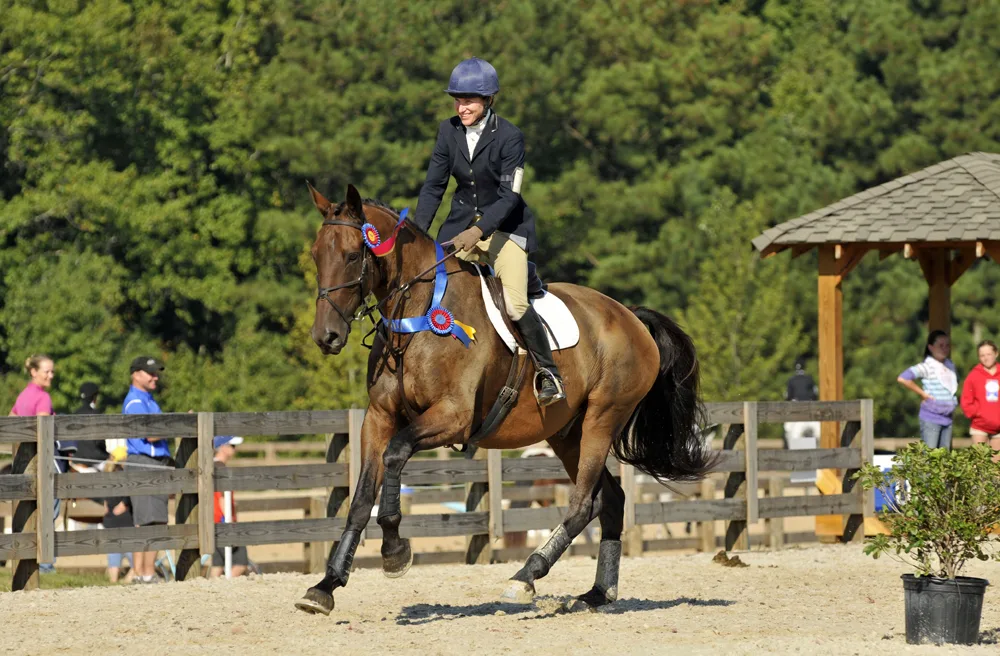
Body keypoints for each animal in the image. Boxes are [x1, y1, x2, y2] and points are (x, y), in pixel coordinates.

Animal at [295, 184, 711, 615]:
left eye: (352, 255)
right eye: (316, 255)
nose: (326, 336)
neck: (417, 314)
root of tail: (629, 316)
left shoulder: (452, 418)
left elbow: (395, 454)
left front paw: (395, 551)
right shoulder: (378, 417)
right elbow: (361, 499)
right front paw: (326, 585)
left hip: (602, 419)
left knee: (583, 503)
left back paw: (525, 576)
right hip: (567, 434)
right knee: (609, 501)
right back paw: (596, 594)